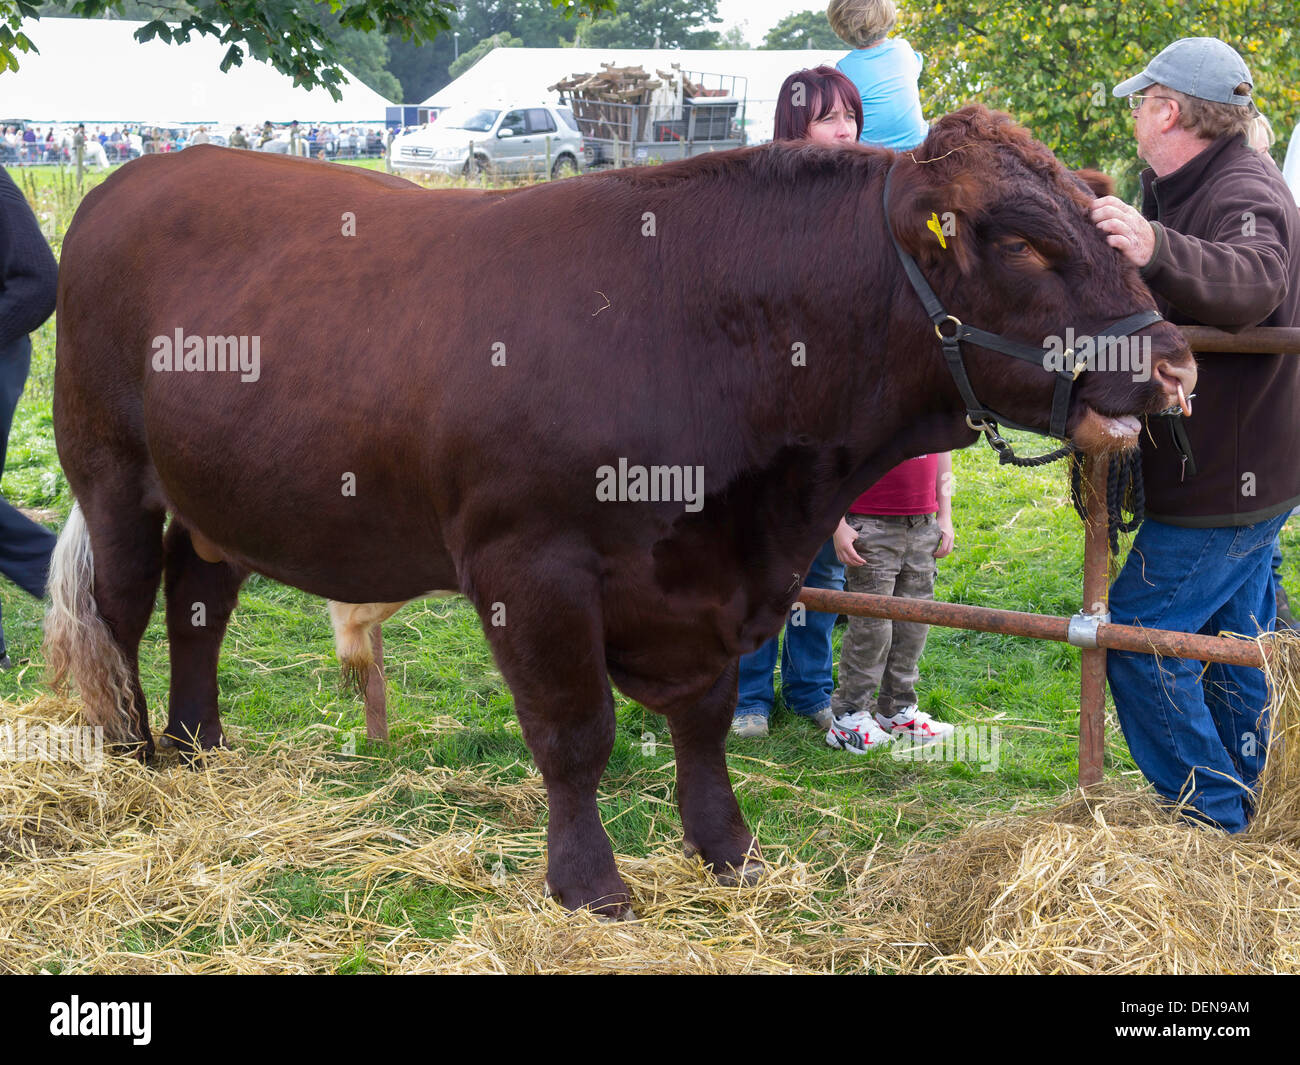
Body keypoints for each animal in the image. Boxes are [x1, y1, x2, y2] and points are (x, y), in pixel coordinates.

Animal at [46, 105, 1196, 918]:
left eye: (1101, 220)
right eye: (1021, 243)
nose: (1175, 363)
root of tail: (142, 173)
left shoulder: (719, 581)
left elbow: (703, 721)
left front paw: (729, 852)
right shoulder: (528, 566)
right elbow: (574, 732)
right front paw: (590, 883)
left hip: (222, 493)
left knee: (200, 601)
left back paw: (200, 748)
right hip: (108, 467)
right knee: (125, 605)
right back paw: (133, 757)